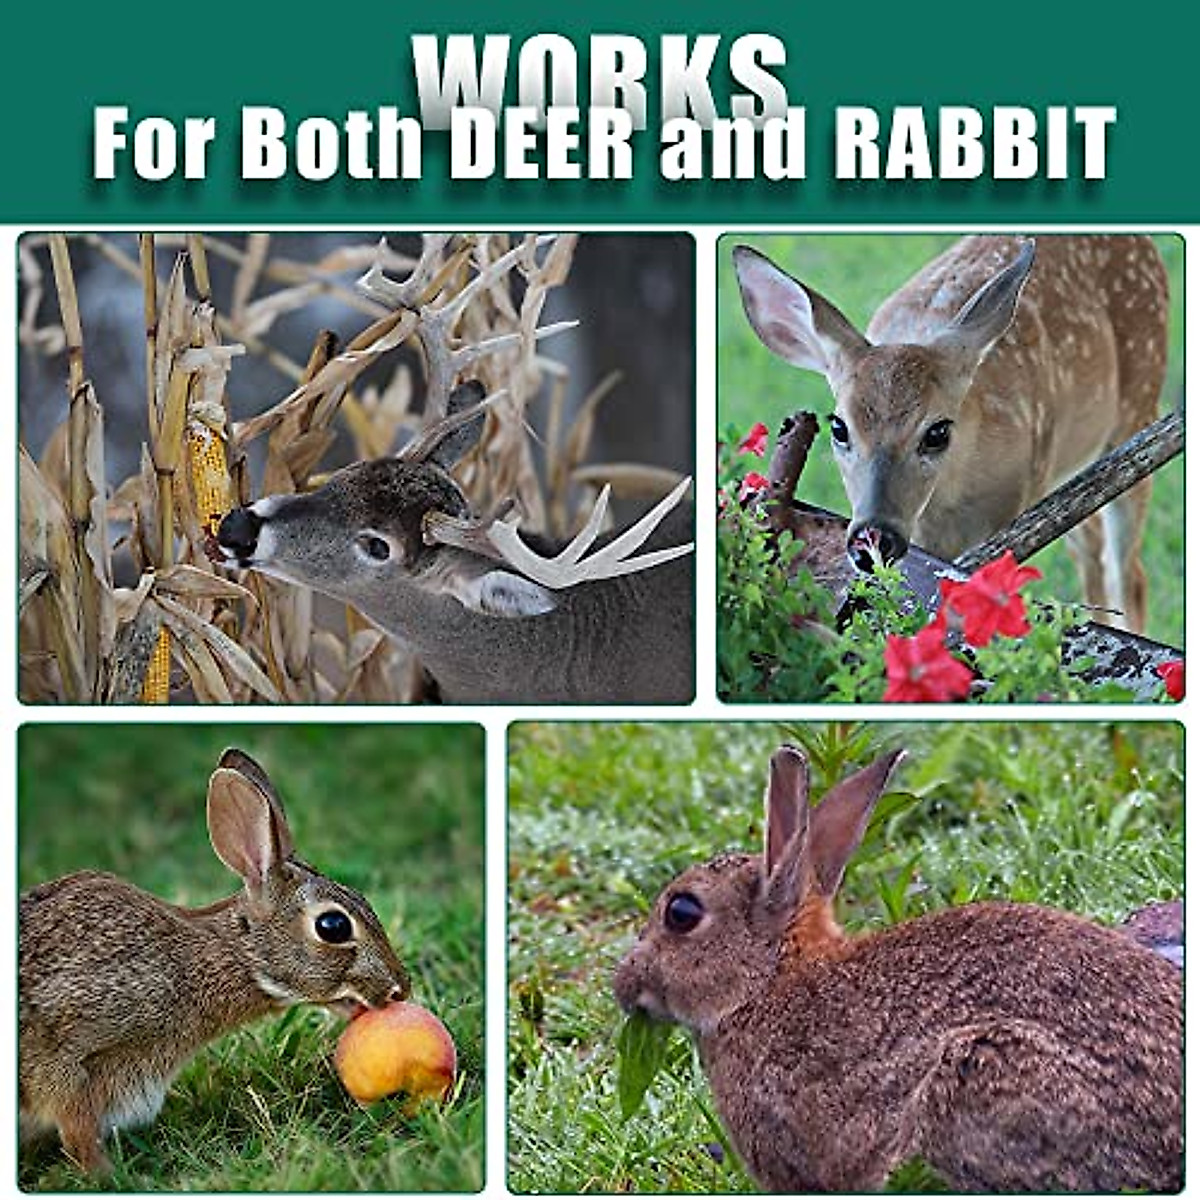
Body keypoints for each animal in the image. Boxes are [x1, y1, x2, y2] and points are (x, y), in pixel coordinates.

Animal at [19, 748, 410, 1175]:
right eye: (333, 926)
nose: (400, 988)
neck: (229, 956)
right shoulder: (71, 1047)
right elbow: (77, 1129)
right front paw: (108, 1176)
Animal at [732, 235, 1168, 632]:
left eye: (937, 432)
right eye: (838, 427)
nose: (873, 539)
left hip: (1137, 407)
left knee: (1129, 572)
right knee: (1092, 550)